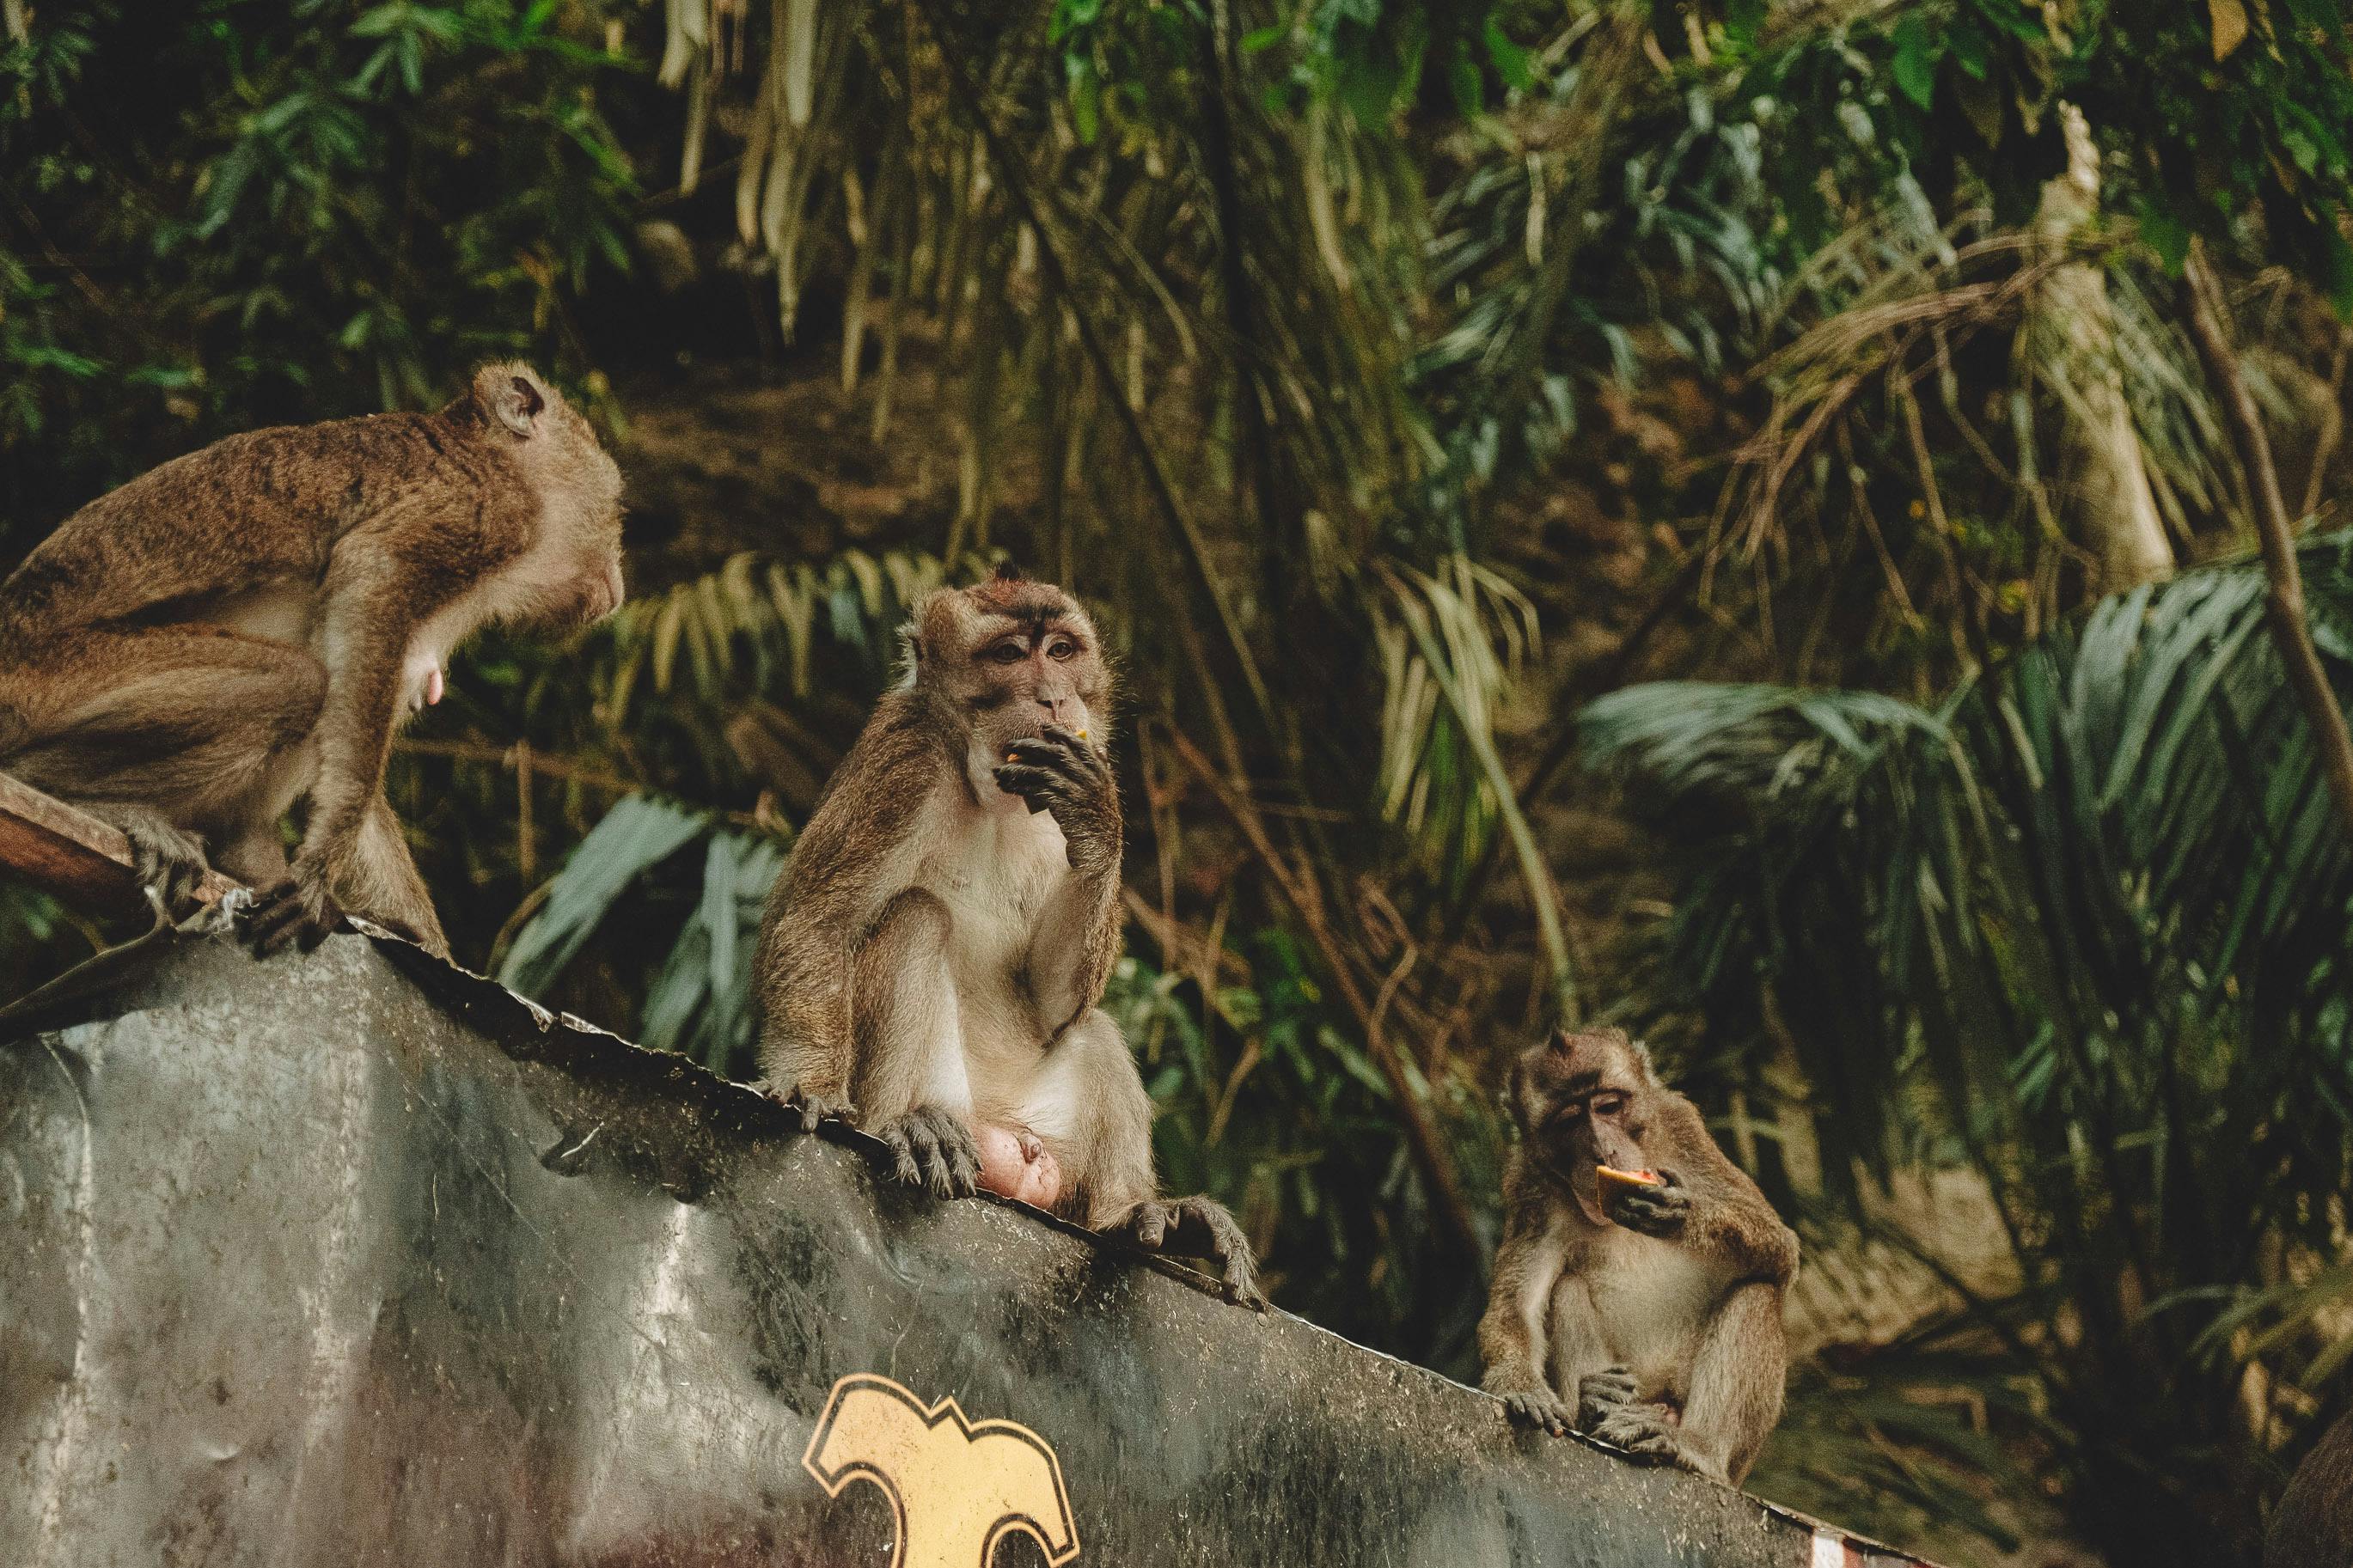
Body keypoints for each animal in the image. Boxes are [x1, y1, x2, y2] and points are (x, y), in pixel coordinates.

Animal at [0, 363, 624, 960]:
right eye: (617, 508)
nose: (620, 580)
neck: (499, 459)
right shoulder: (487, 511)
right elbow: (371, 576)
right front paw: (323, 864)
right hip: (53, 682)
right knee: (297, 681)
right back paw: (73, 796)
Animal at [754, 566, 1261, 1304]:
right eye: (1007, 655)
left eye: (1060, 650)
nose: (1052, 696)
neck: (988, 785)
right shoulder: (904, 760)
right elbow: (813, 919)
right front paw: (808, 1084)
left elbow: (1051, 997)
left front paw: (1096, 821)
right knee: (915, 917)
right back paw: (912, 1126)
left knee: (1091, 1025)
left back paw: (1134, 1213)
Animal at [1478, 1026, 1798, 1486]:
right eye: (1569, 1120)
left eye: (1609, 1106)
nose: (1603, 1152)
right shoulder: (1528, 1184)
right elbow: (1517, 1305)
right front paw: (1520, 1384)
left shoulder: (1682, 1126)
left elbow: (1781, 1250)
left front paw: (1680, 1215)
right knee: (1567, 1289)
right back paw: (1595, 1404)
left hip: (1733, 1460)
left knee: (1758, 1293)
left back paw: (1695, 1447)